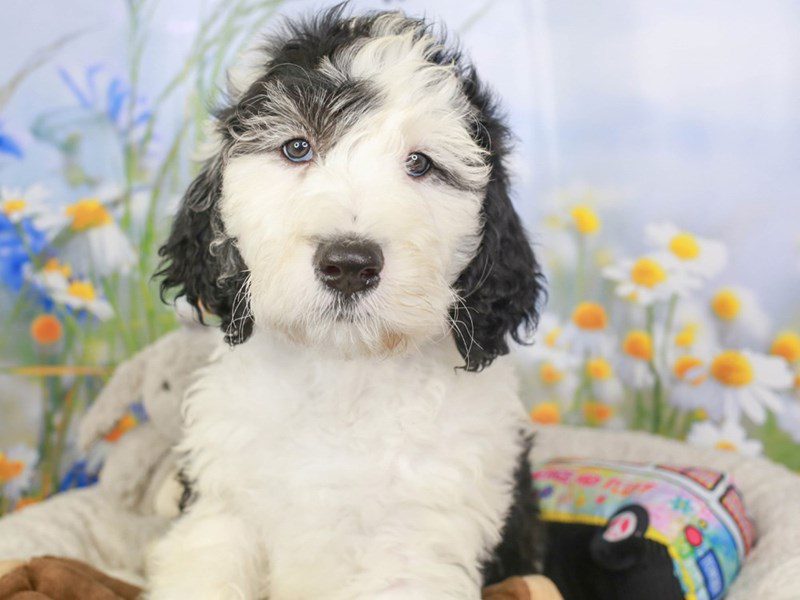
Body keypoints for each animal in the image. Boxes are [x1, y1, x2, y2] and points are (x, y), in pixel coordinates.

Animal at [148, 5, 552, 600]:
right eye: (297, 147)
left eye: (421, 164)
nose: (349, 265)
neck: (344, 376)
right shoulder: (222, 510)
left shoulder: (419, 542)